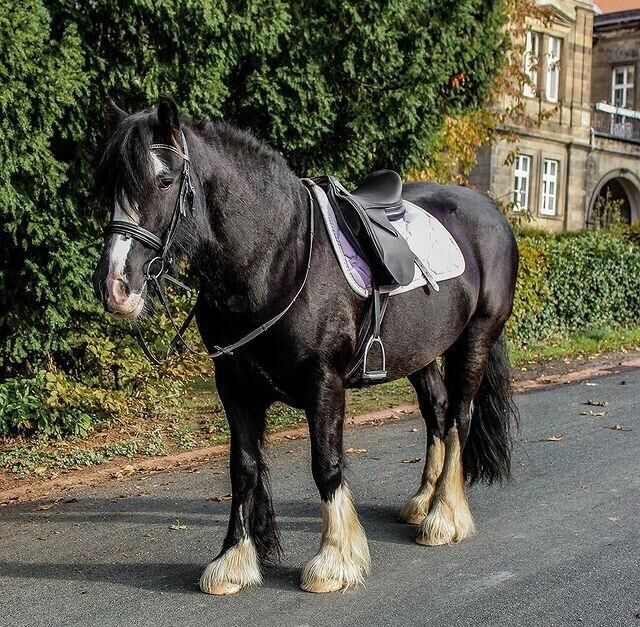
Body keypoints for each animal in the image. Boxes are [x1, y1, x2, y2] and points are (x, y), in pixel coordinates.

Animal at [92, 96, 519, 595]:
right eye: (109, 185)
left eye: (164, 180)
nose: (115, 286)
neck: (274, 258)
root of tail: (489, 210)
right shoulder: (234, 387)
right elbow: (244, 467)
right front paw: (234, 560)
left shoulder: (325, 384)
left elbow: (326, 465)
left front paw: (335, 559)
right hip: (420, 353)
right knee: (436, 411)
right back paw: (423, 501)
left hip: (474, 339)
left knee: (458, 418)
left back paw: (444, 516)